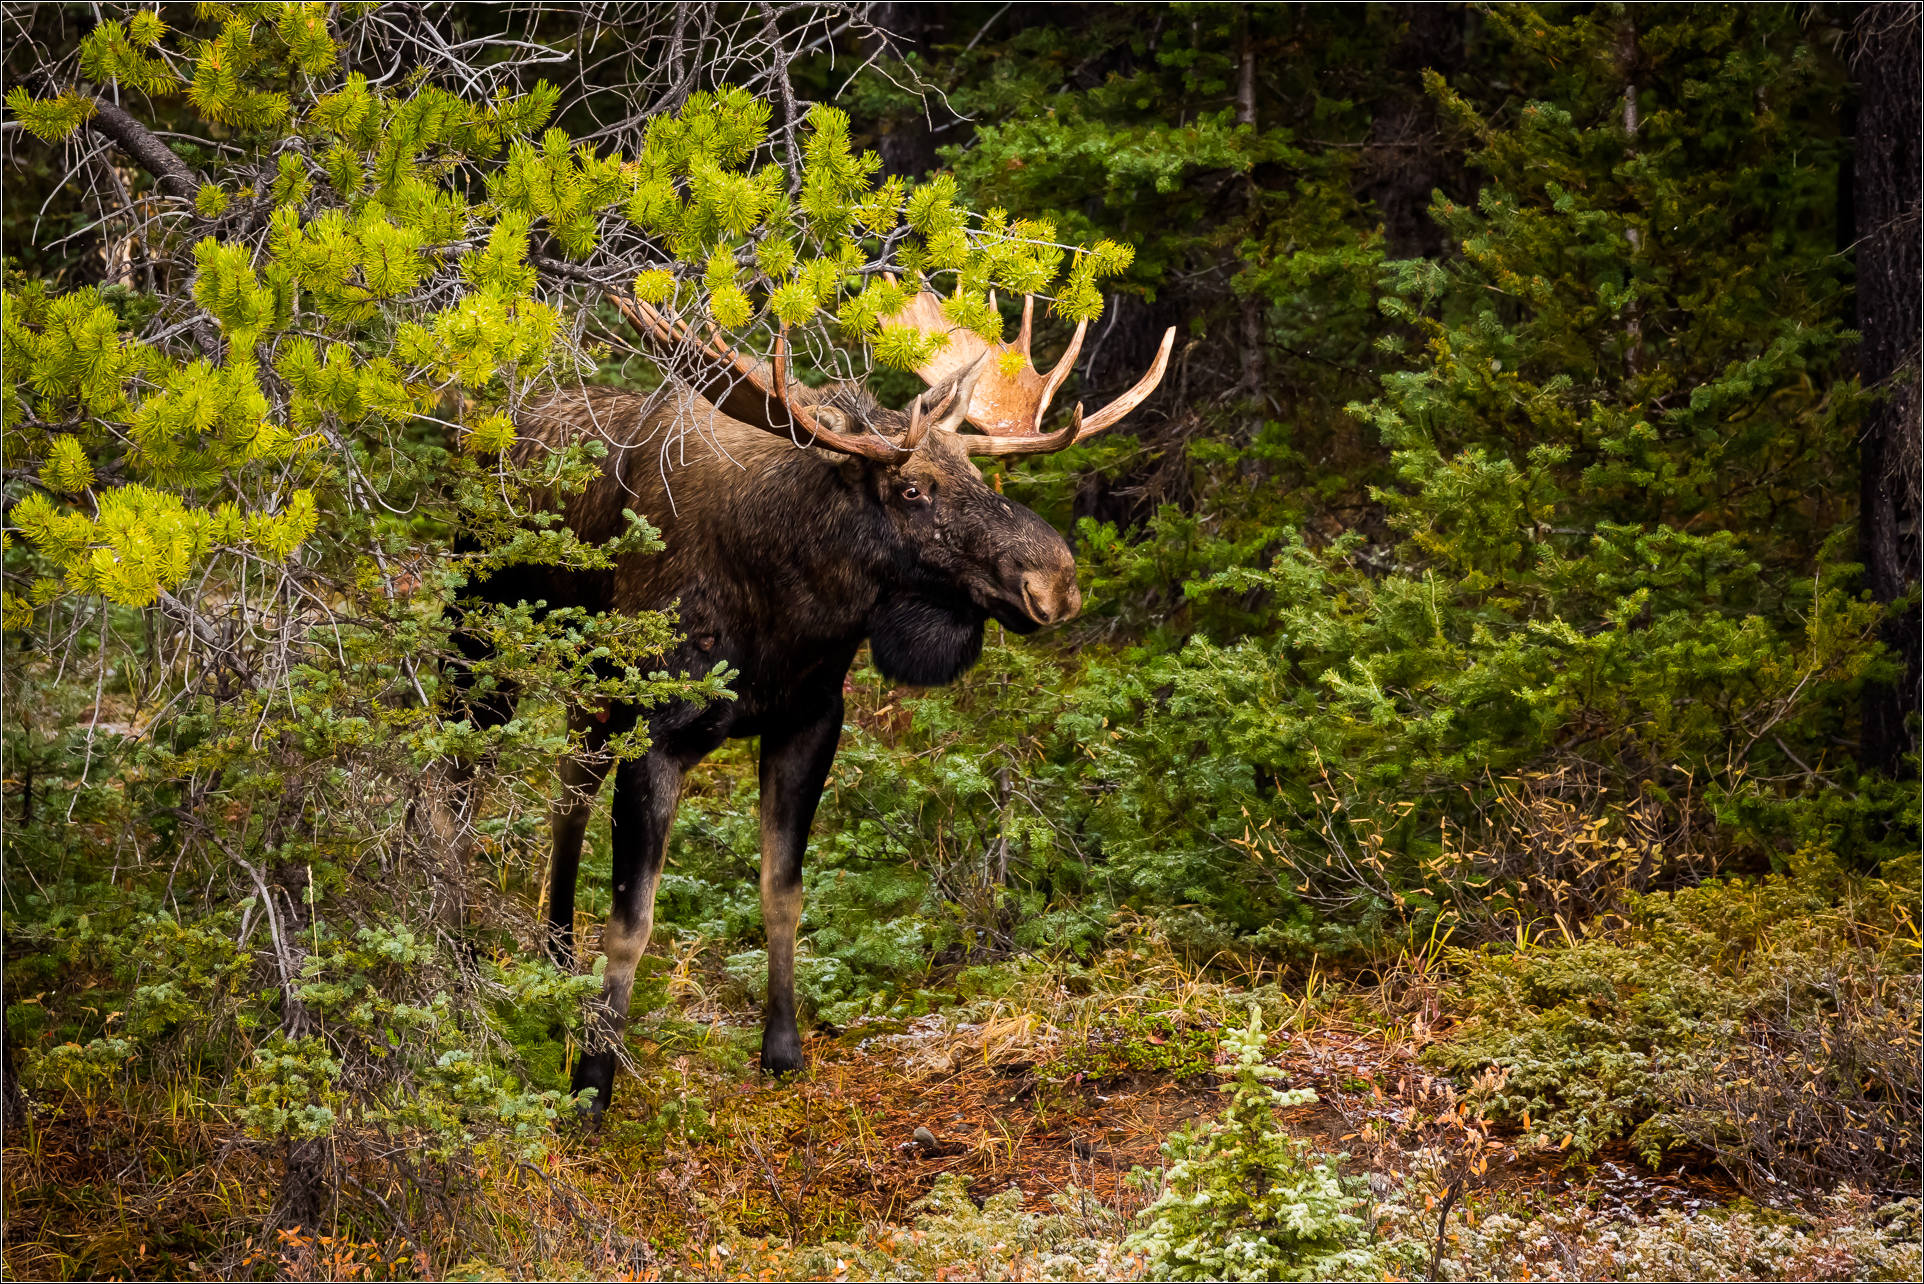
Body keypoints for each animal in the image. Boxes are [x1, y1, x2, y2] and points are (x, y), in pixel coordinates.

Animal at [465, 287, 1173, 1115]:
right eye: (910, 489)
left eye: (974, 469)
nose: (1055, 583)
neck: (785, 609)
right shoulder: (658, 733)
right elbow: (633, 922)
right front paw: (592, 1082)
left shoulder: (810, 720)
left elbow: (783, 892)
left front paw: (782, 1048)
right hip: (483, 644)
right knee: (464, 781)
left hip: (590, 693)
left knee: (565, 795)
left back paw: (554, 955)